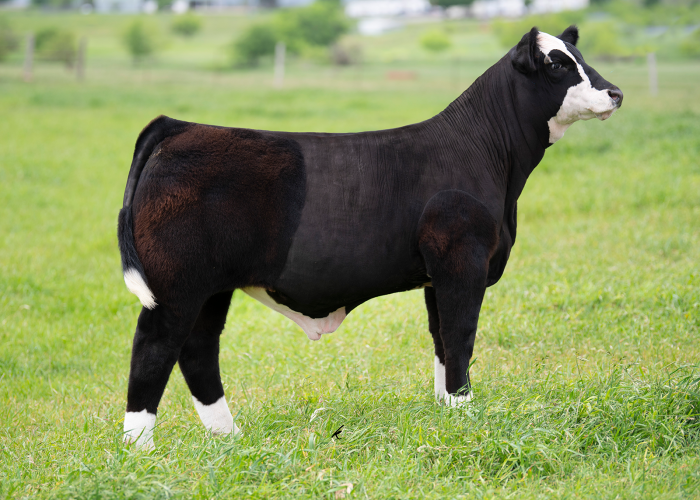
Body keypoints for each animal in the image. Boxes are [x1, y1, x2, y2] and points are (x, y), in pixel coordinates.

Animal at [118, 26, 623, 449]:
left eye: (578, 55)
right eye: (557, 63)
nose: (616, 93)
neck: (487, 155)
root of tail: (181, 126)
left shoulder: (436, 275)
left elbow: (441, 340)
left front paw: (447, 412)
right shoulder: (463, 260)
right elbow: (461, 334)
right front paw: (467, 414)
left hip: (211, 288)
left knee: (198, 350)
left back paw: (230, 437)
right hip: (176, 285)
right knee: (155, 348)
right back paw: (140, 448)